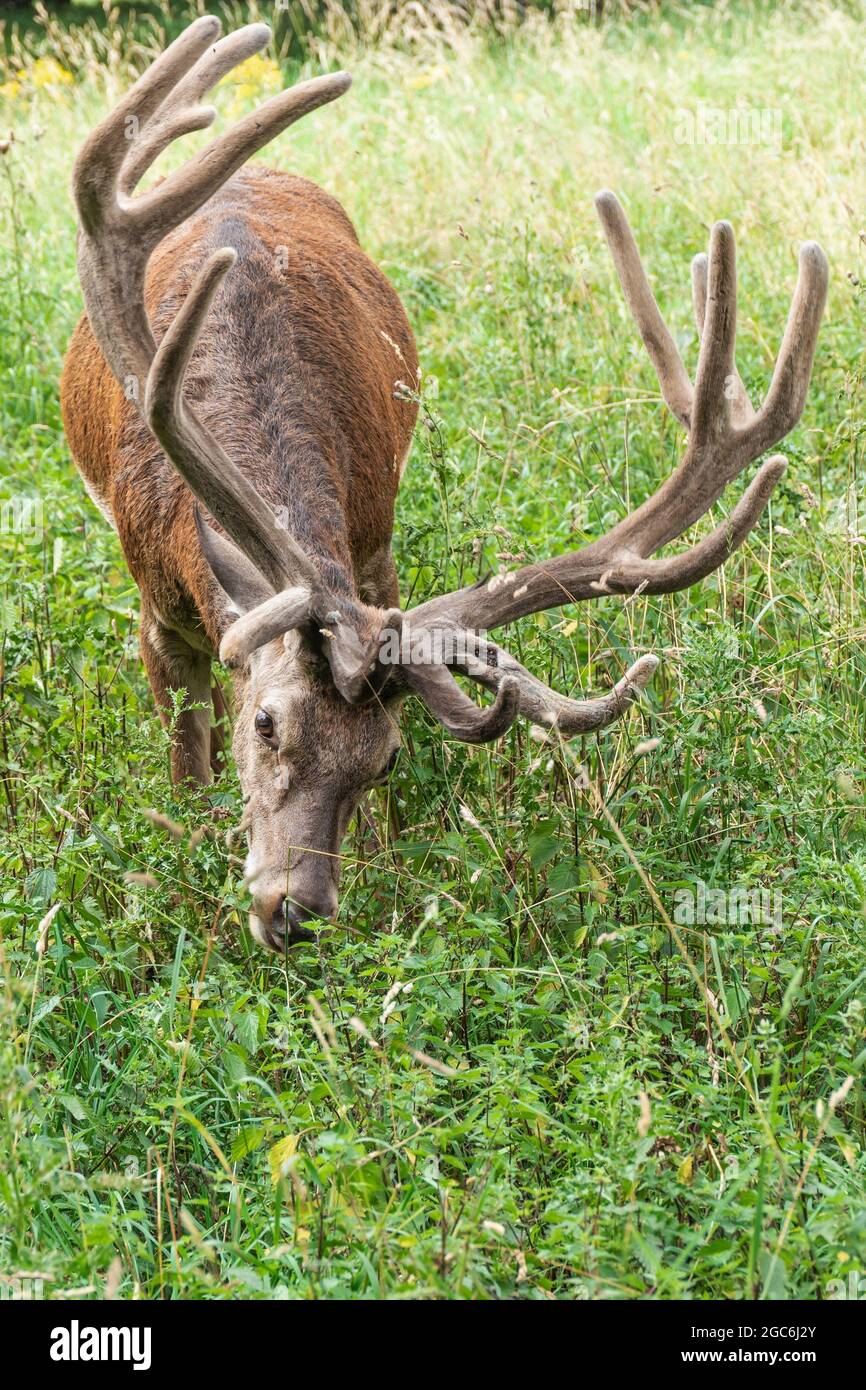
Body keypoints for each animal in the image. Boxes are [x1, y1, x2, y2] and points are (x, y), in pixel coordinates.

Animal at [60, 16, 828, 953]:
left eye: (385, 755)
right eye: (268, 722)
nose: (295, 913)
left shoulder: (374, 548)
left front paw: (384, 860)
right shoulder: (157, 608)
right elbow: (186, 774)